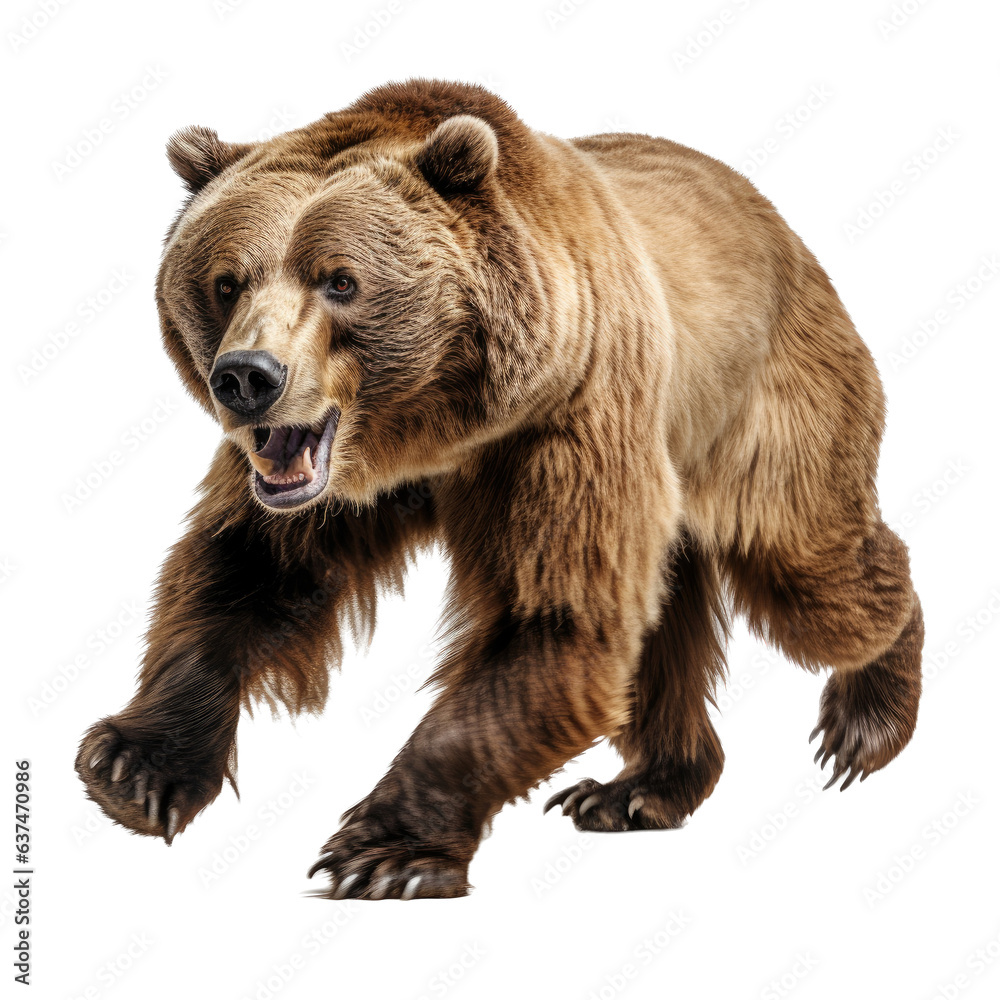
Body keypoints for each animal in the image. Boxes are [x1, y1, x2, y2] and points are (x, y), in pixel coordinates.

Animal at [75, 79, 923, 900]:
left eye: (340, 280)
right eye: (226, 281)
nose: (248, 377)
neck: (427, 429)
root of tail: (774, 218)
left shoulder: (565, 418)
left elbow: (552, 618)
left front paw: (384, 851)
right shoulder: (319, 486)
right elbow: (249, 574)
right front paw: (132, 764)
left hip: (762, 409)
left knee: (810, 575)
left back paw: (865, 720)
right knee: (668, 619)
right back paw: (639, 789)